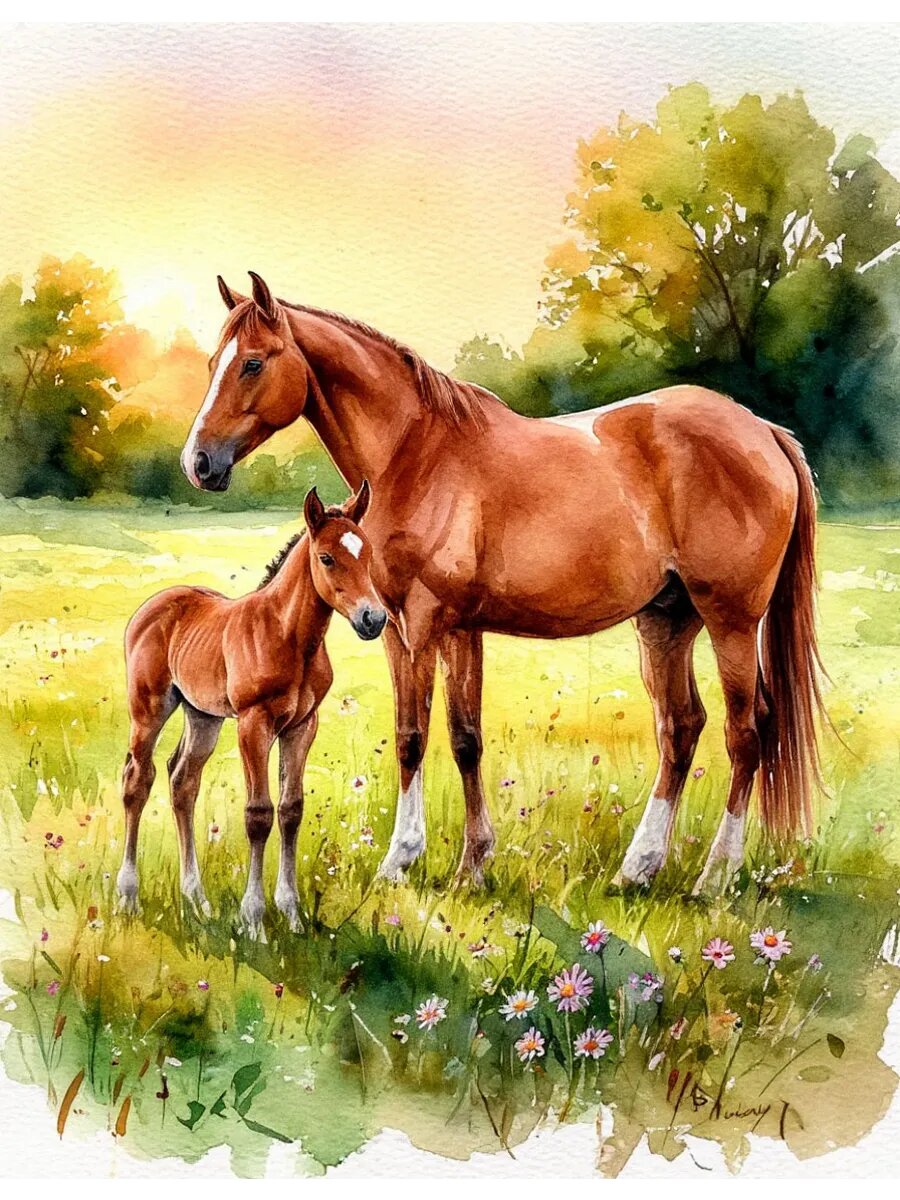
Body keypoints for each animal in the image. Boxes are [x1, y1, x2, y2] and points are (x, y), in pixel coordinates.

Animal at [115, 482, 387, 936]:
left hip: (202, 716)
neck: (288, 637)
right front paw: (254, 919)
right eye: (326, 558)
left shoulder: (302, 726)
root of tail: (155, 604)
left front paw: (292, 914)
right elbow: (258, 814)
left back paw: (197, 900)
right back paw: (127, 896)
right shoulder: (253, 724)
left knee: (182, 781)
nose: (374, 619)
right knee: (138, 780)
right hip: (148, 708)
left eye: (367, 554)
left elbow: (291, 810)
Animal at [179, 271, 825, 896]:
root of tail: (763, 431)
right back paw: (636, 869)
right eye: (212, 364)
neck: (416, 454)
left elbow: (418, 736)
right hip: (667, 620)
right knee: (681, 728)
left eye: (252, 362)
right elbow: (459, 738)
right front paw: (474, 866)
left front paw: (400, 860)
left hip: (731, 619)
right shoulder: (420, 628)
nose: (199, 463)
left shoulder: (421, 624)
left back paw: (714, 876)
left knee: (747, 731)